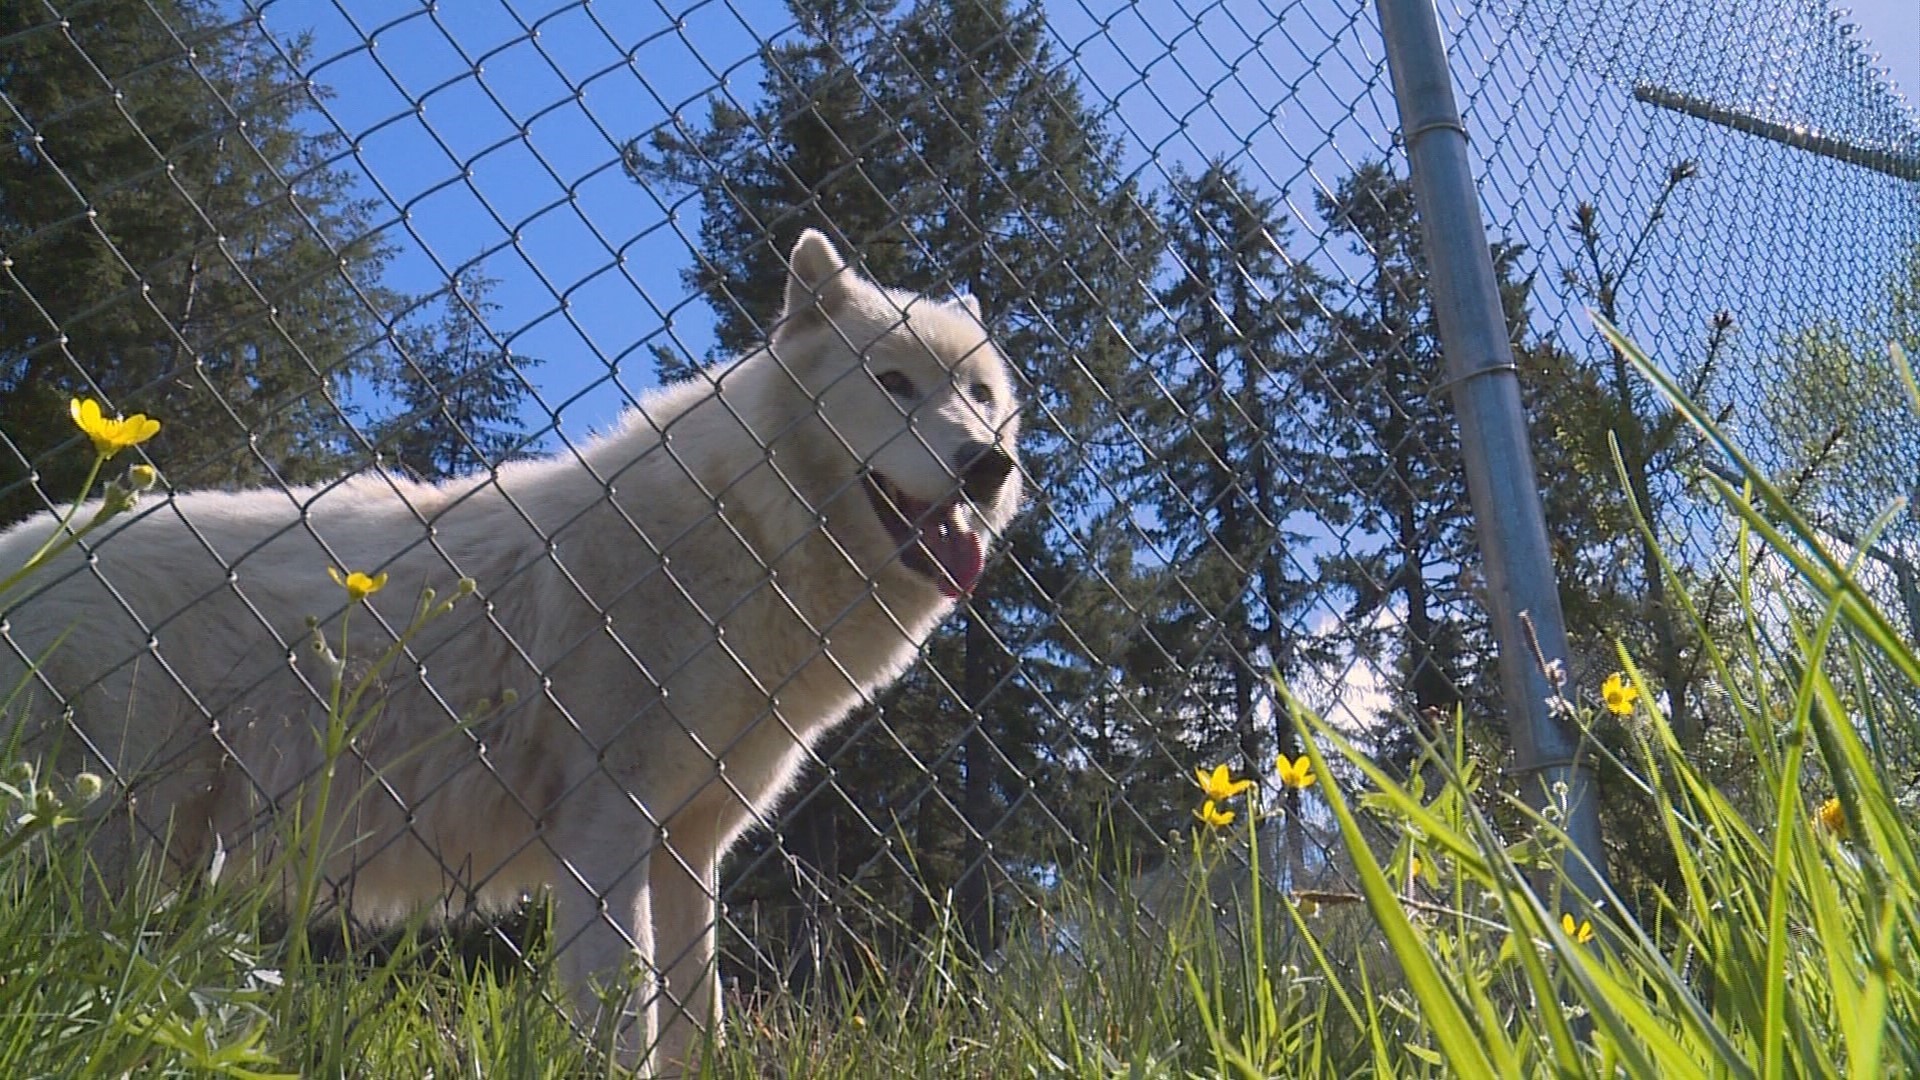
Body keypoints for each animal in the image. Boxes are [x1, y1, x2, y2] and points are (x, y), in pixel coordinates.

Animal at [0, 229, 1023, 1072]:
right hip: (114, 843)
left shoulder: (689, 849)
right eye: (893, 382)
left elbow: (701, 1024)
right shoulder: (605, 831)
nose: (989, 464)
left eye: (981, 397)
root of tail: (26, 548)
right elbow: (625, 1022)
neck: (741, 541)